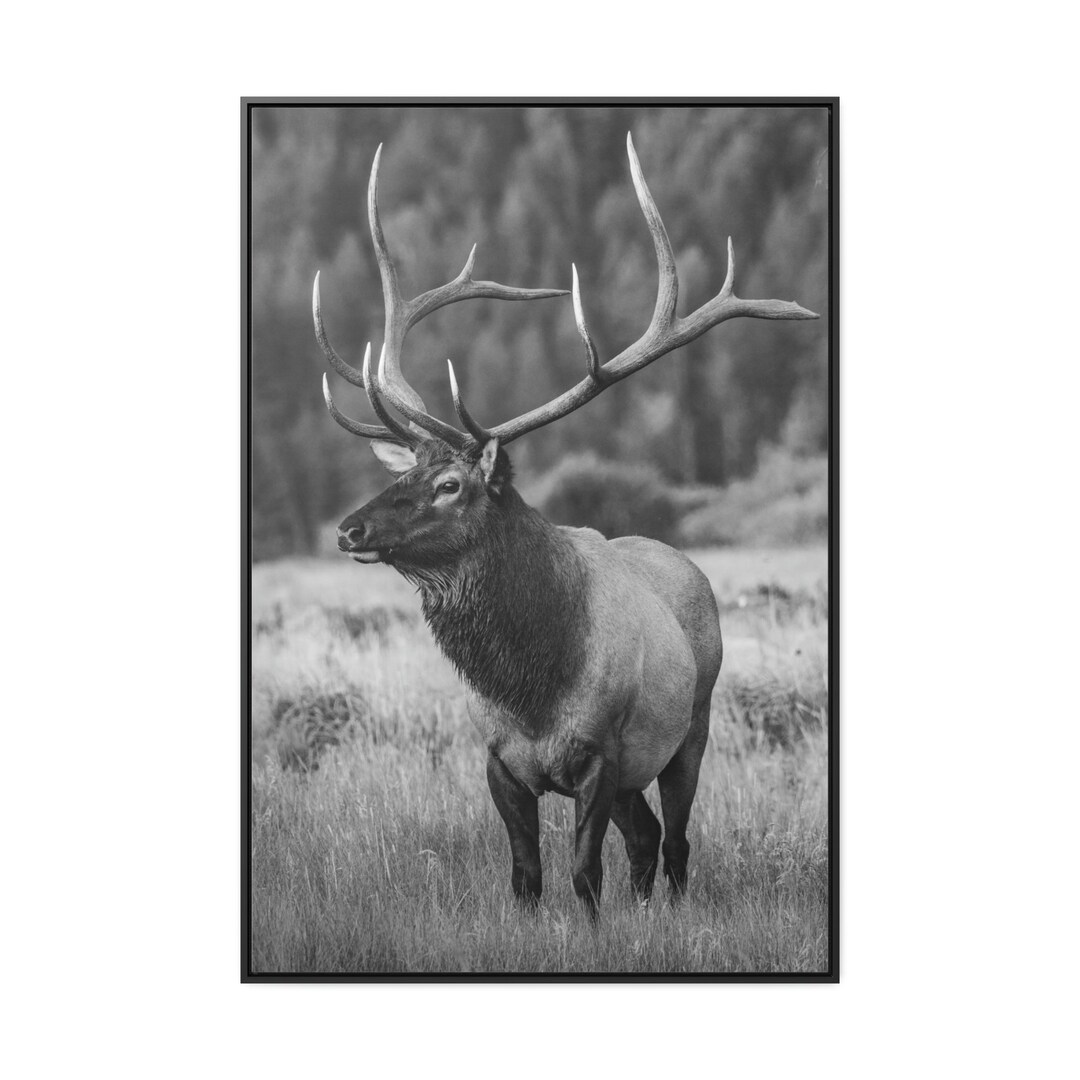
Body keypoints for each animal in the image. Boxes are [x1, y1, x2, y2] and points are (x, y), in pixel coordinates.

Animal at [313, 134, 818, 918]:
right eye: (402, 475)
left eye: (450, 485)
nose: (349, 530)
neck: (533, 688)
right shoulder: (498, 760)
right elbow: (526, 879)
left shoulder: (601, 754)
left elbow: (583, 876)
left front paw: (595, 929)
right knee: (646, 839)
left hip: (692, 726)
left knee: (676, 840)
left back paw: (670, 909)